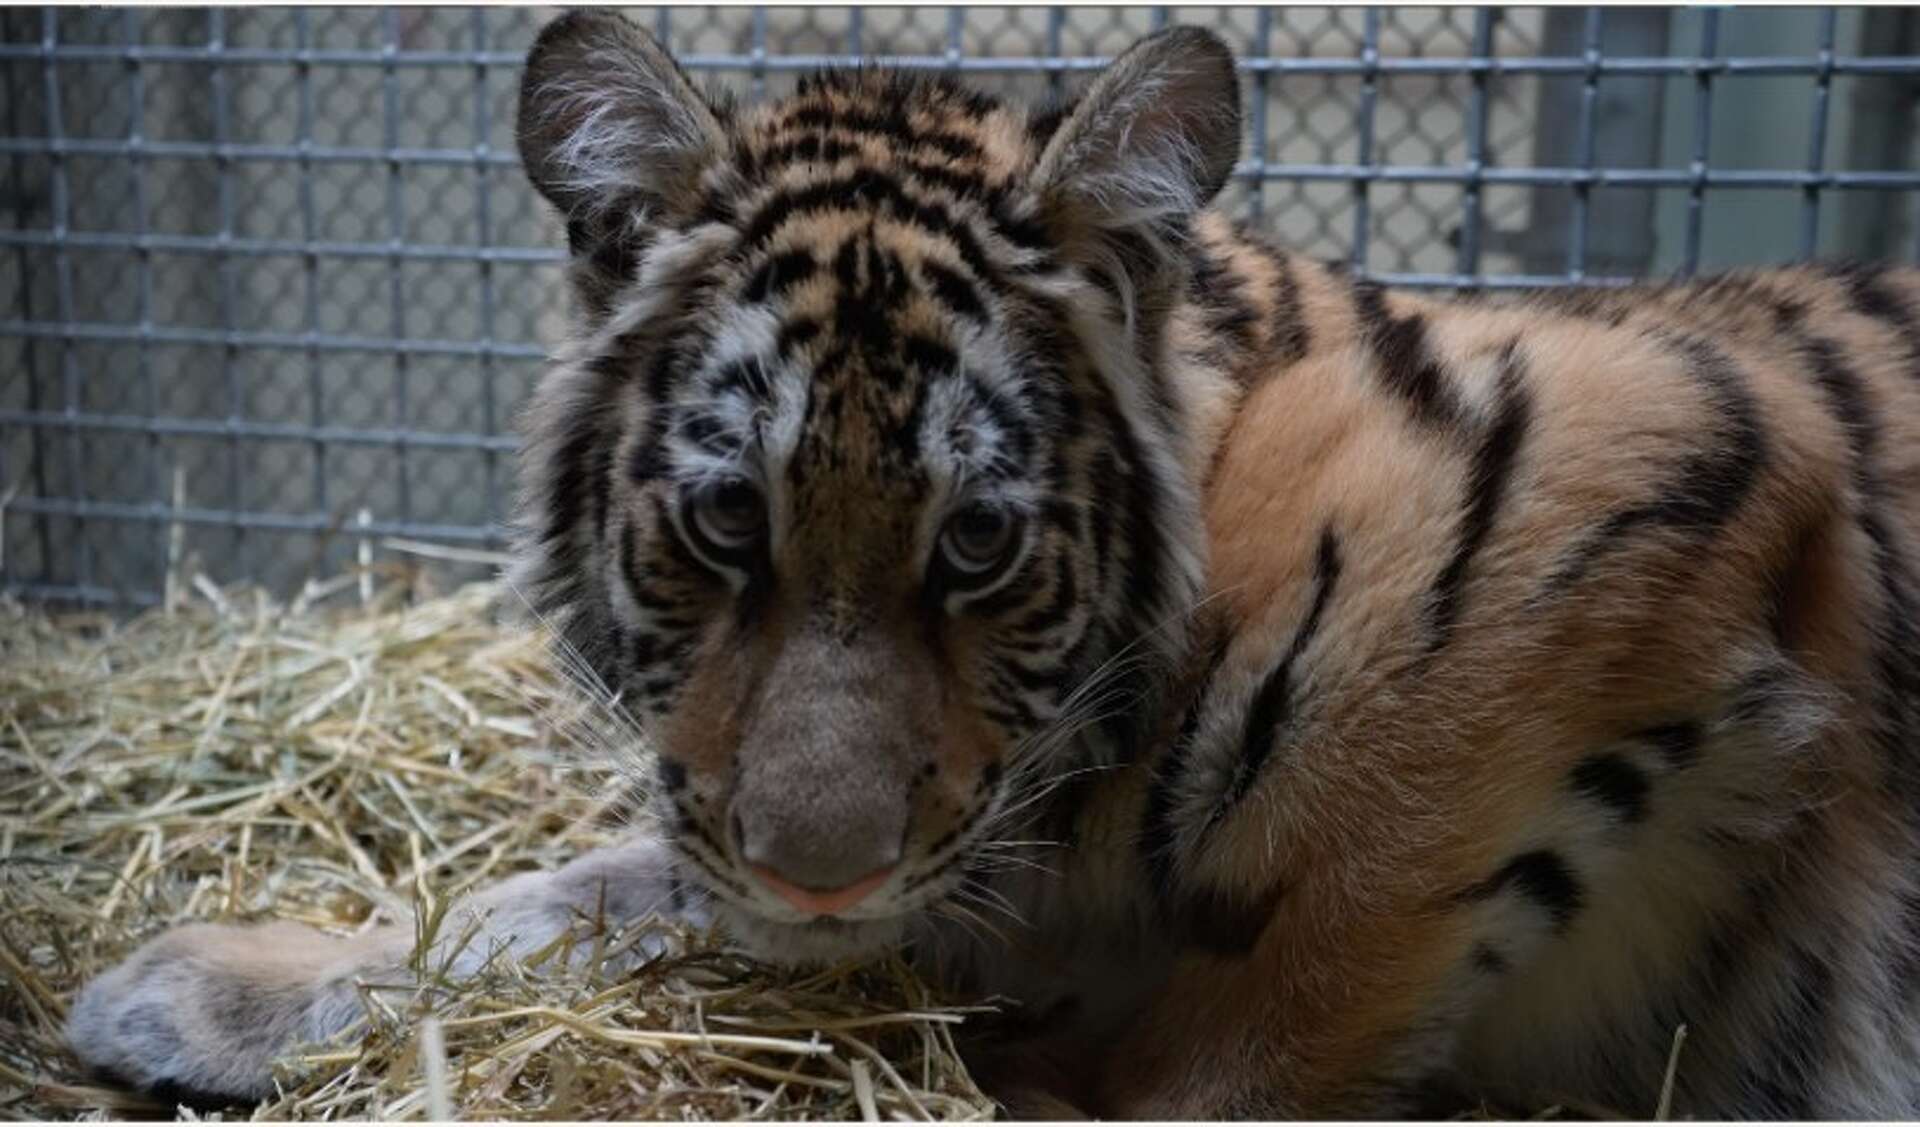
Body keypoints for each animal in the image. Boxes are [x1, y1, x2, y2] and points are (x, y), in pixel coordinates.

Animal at [64, 10, 1920, 1118]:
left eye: (977, 542)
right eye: (727, 520)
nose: (824, 875)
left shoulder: (1637, 474)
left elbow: (1277, 993)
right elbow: (575, 888)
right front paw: (203, 990)